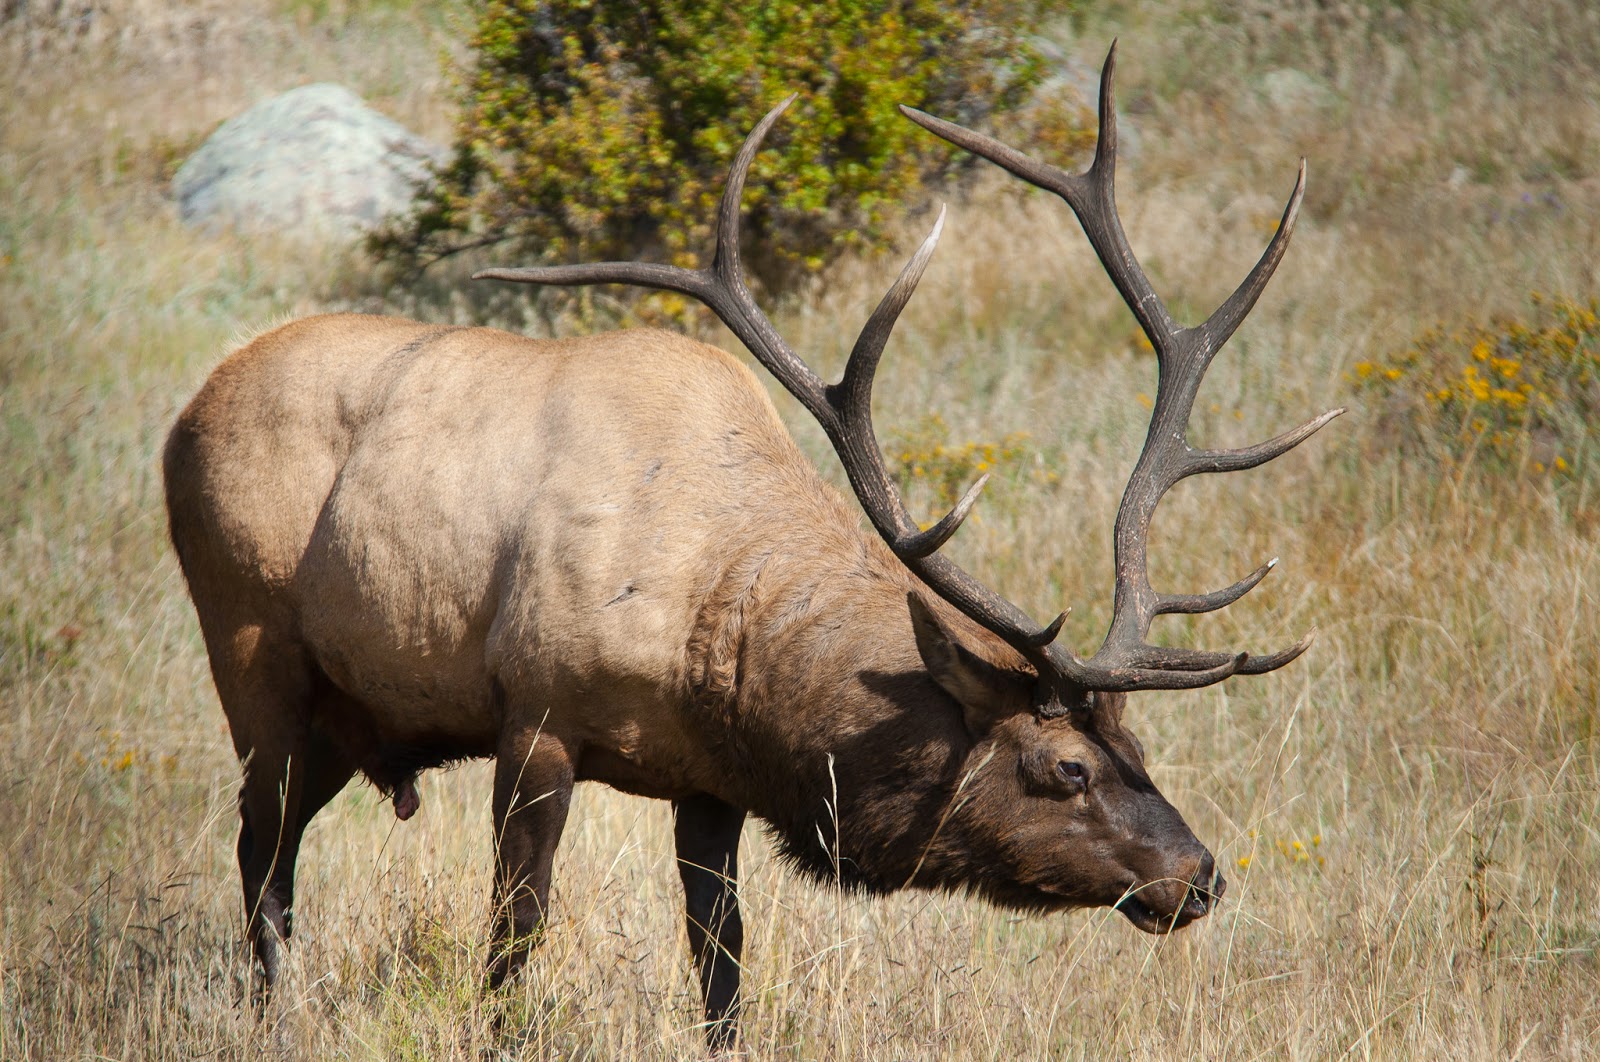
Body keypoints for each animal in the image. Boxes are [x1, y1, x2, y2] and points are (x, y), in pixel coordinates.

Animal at [163, 44, 1338, 1051]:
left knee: (274, 847)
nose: (1198, 875)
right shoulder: (534, 719)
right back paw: (271, 1017)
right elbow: (511, 940)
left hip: (343, 713)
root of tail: (188, 411)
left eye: (1140, 744)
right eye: (1064, 767)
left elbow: (721, 967)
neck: (716, 636)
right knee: (260, 858)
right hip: (253, 652)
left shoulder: (708, 782)